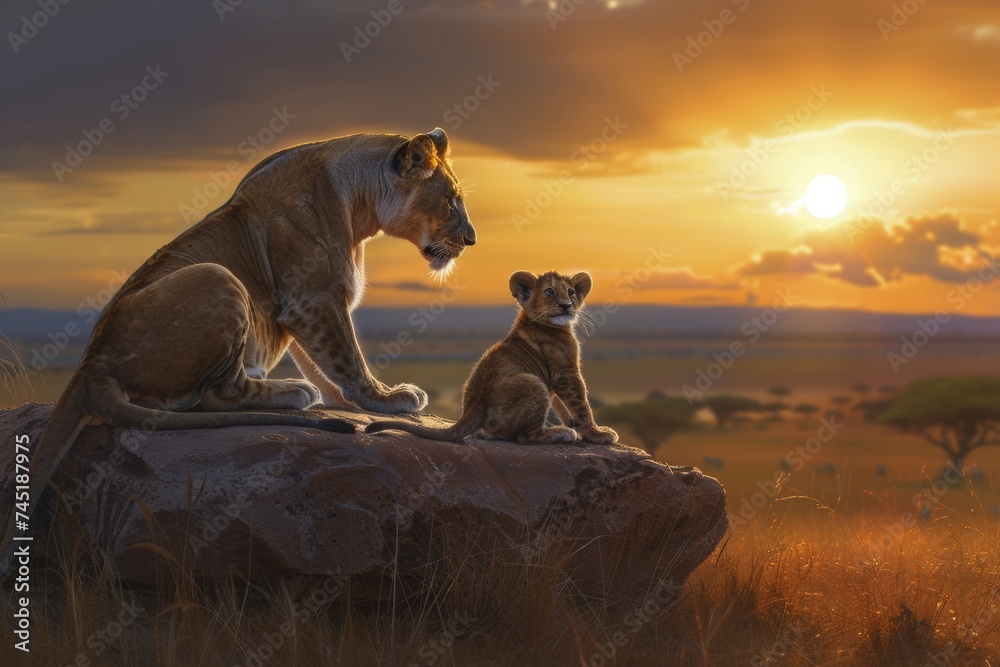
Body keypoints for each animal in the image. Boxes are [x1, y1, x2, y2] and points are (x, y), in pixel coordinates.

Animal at [1, 128, 476, 575]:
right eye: (451, 200)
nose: (472, 240)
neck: (359, 205)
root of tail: (90, 366)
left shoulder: (304, 308)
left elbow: (326, 364)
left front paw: (352, 401)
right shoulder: (314, 297)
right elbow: (347, 357)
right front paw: (387, 398)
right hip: (218, 276)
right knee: (217, 395)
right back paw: (292, 392)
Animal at [366, 271, 619, 446]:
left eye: (571, 292)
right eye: (549, 292)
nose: (566, 306)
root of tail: (471, 409)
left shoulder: (556, 377)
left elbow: (564, 407)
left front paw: (579, 427)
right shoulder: (565, 373)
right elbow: (581, 405)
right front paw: (597, 434)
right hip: (534, 382)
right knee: (525, 437)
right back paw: (561, 433)